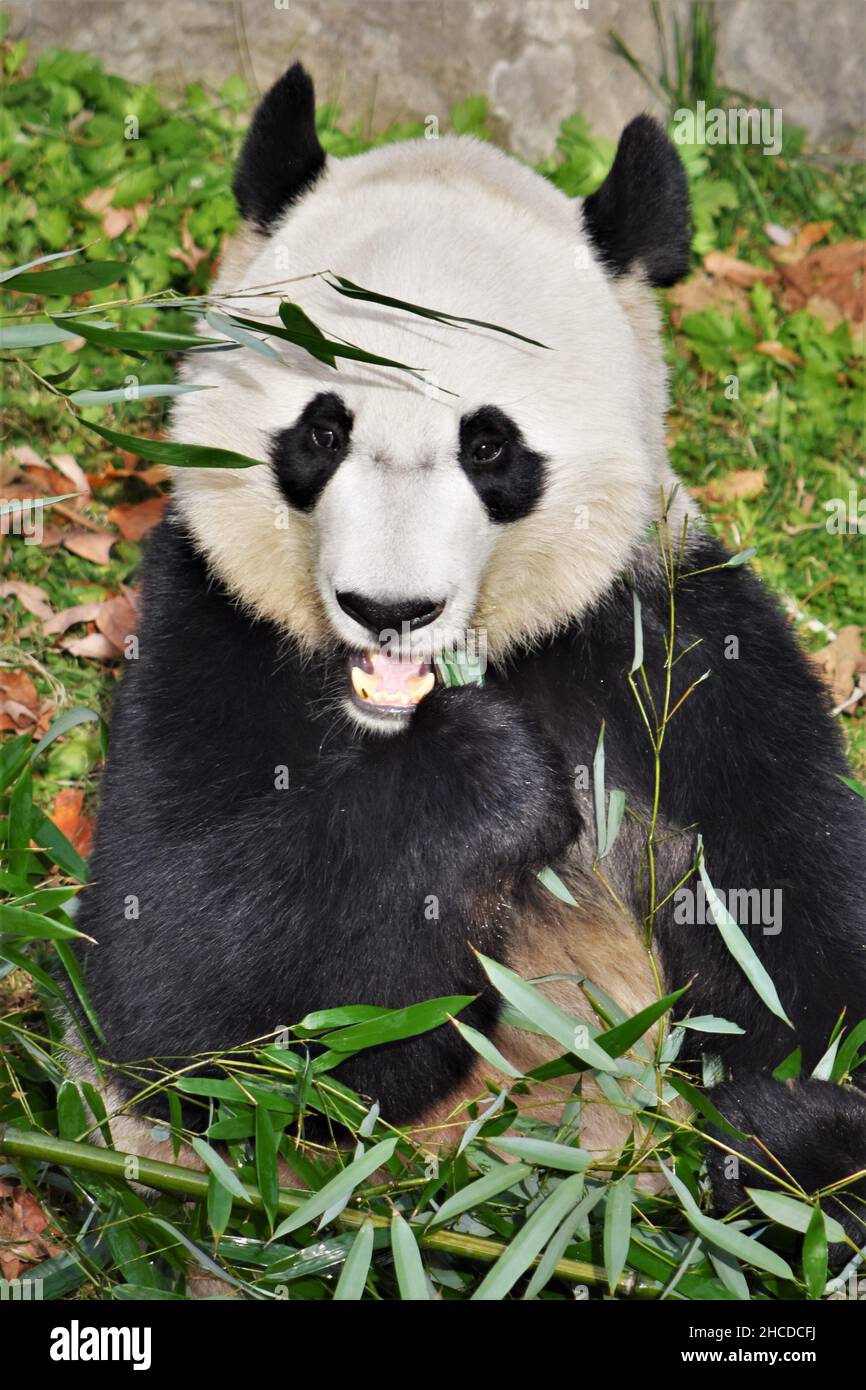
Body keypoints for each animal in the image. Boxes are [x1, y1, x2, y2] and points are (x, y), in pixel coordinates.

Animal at [71, 63, 866, 1240]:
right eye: (323, 429)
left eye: (488, 445)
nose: (387, 607)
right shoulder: (210, 621)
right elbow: (181, 1006)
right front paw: (487, 782)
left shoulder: (668, 644)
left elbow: (805, 933)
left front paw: (789, 1137)